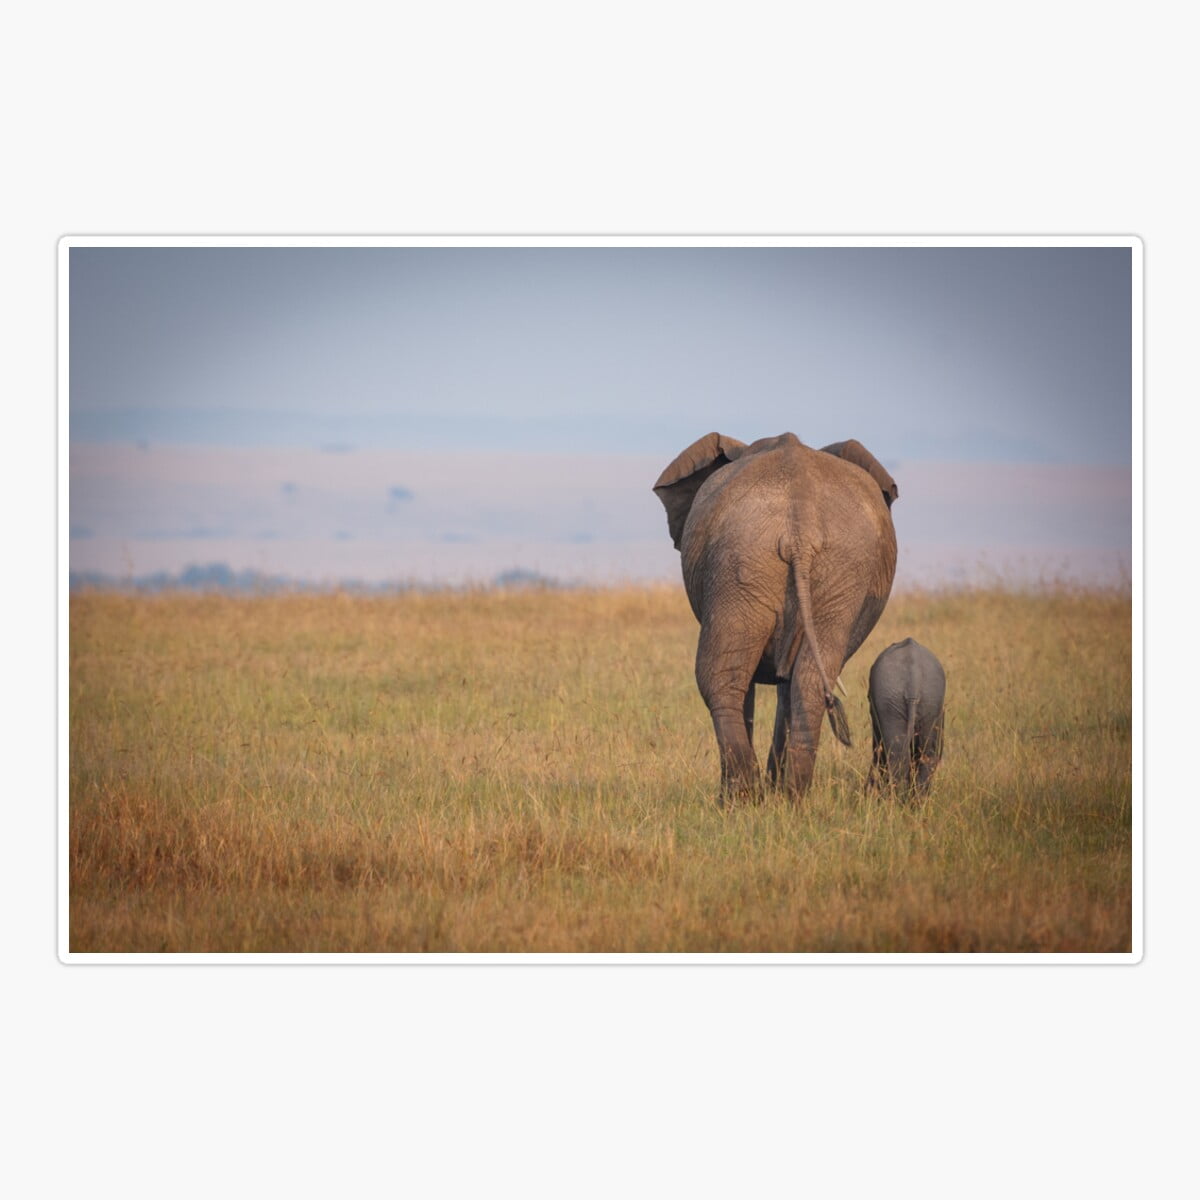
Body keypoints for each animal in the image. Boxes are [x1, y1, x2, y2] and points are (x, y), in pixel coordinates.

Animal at [653, 431, 898, 801]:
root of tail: (800, 527)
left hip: (749, 562)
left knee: (722, 677)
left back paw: (740, 799)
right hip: (810, 569)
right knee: (800, 681)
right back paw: (788, 797)